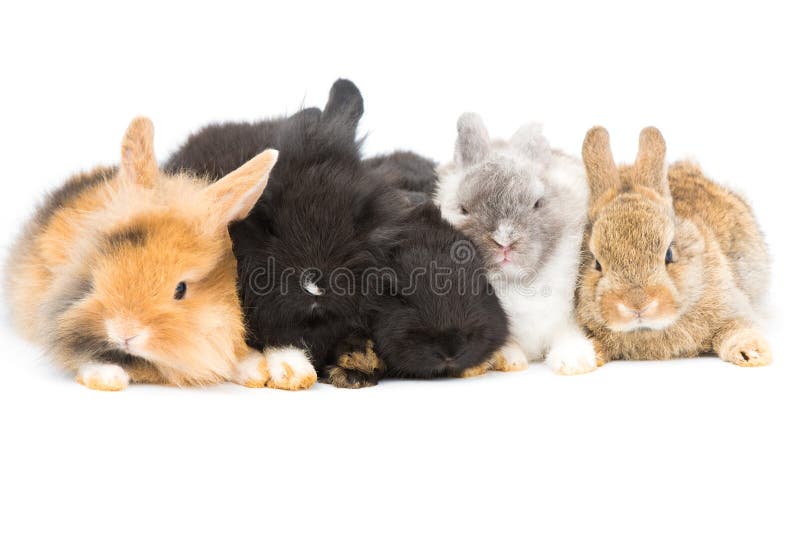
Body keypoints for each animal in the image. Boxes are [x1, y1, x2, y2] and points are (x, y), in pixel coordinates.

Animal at [435, 113, 598, 375]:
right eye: (463, 209)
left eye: (538, 203)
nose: (504, 240)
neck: (518, 284)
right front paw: (508, 359)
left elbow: (568, 333)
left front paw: (574, 362)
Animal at [576, 126, 772, 366]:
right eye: (596, 263)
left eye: (669, 253)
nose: (637, 305)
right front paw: (577, 360)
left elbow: (734, 329)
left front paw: (751, 353)